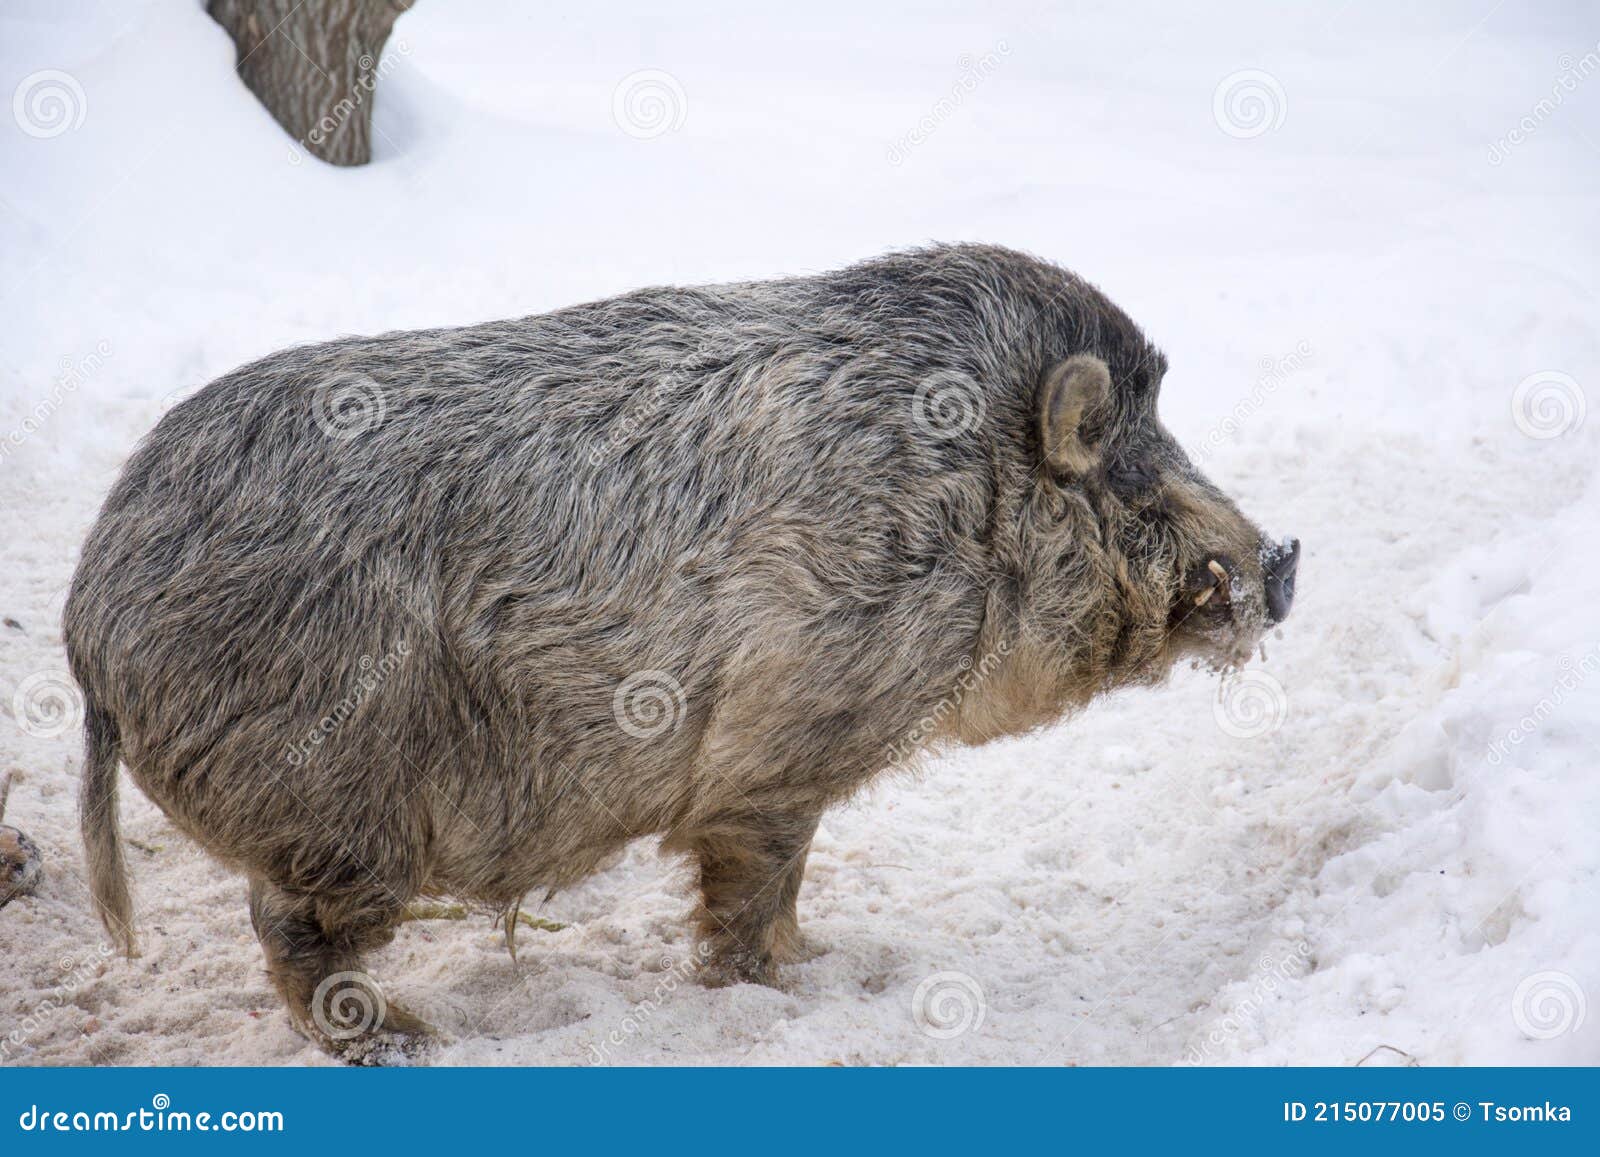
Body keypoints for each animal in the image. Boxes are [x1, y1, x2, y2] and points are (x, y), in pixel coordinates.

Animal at [64, 243, 1298, 1061]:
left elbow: (787, 883)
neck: (972, 514)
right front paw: (780, 990)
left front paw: (821, 958)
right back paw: (413, 1037)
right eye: (1136, 480)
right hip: (337, 803)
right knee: (292, 933)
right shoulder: (785, 738)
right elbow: (755, 876)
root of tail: (90, 618)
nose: (1282, 559)